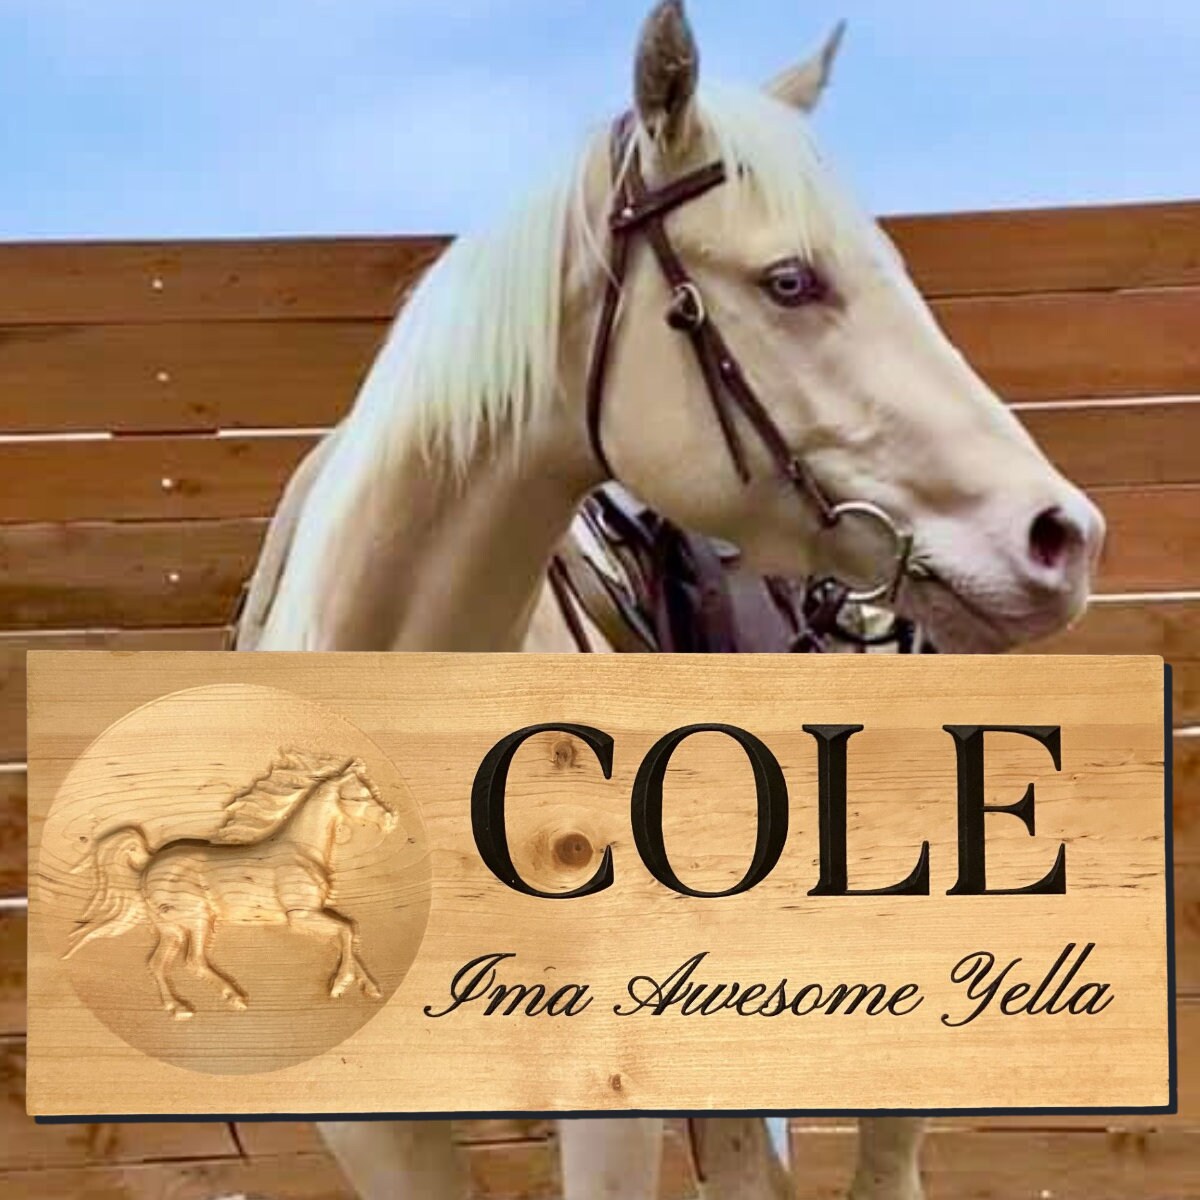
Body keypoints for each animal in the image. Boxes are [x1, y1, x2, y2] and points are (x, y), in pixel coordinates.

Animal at [63, 751, 397, 1020]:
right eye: (361, 796)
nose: (391, 819)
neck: (302, 850)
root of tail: (146, 866)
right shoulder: (300, 916)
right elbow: (347, 931)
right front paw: (340, 986)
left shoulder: (317, 913)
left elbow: (350, 934)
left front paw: (368, 987)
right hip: (197, 920)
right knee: (194, 962)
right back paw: (234, 998)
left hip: (171, 928)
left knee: (156, 963)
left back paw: (179, 1008)